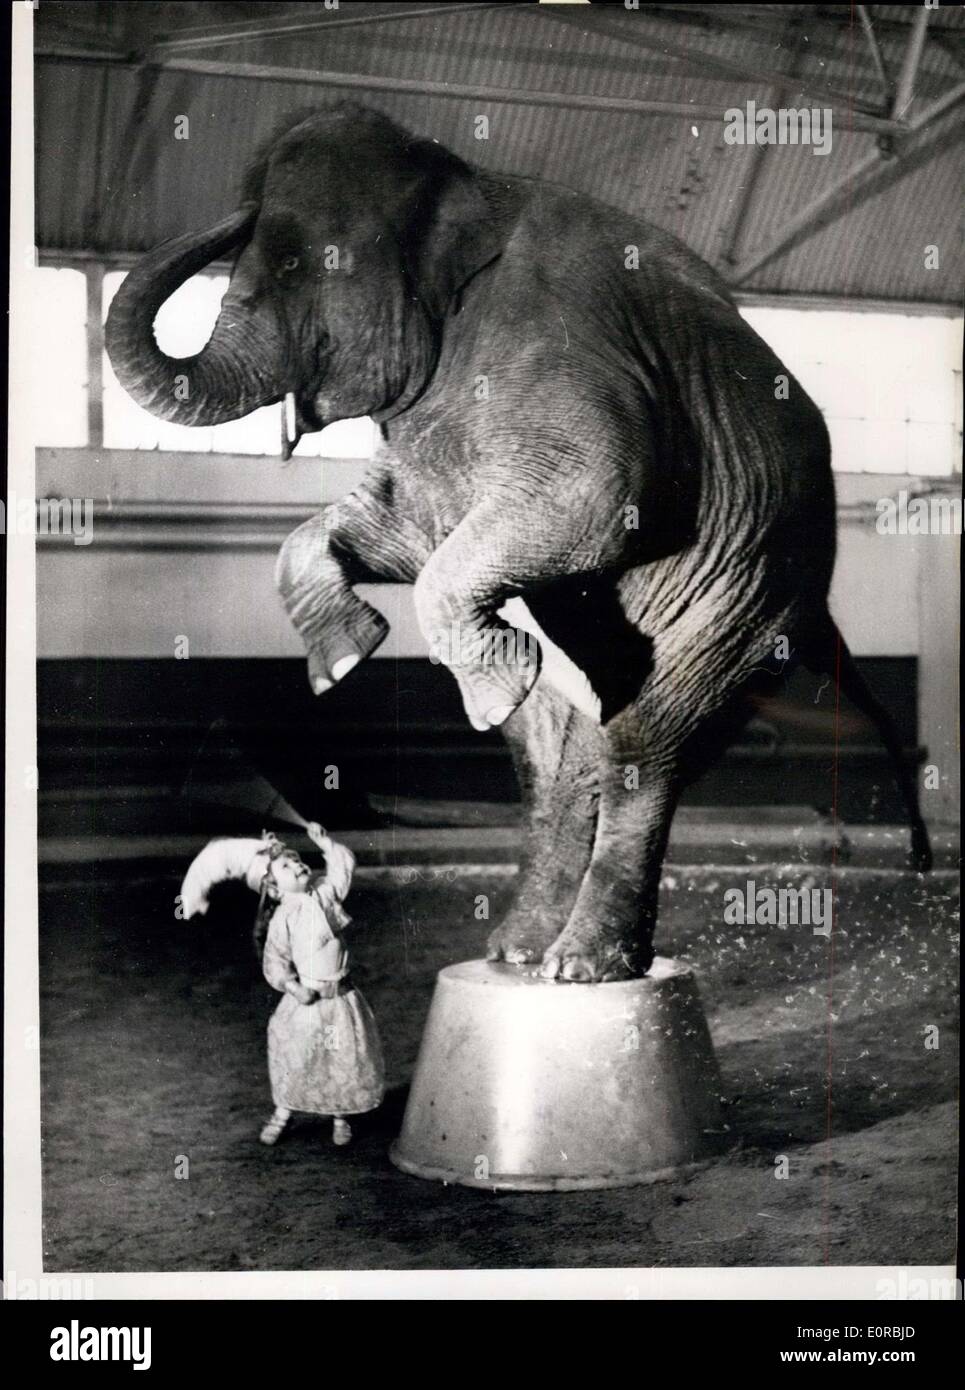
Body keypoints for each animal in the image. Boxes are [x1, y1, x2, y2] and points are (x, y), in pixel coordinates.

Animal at [106, 102, 931, 982]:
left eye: (296, 262)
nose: (230, 211)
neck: (462, 184)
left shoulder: (557, 349)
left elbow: (598, 495)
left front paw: (467, 680)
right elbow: (404, 529)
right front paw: (342, 663)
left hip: (741, 594)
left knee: (644, 738)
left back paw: (583, 963)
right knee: (549, 753)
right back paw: (516, 949)